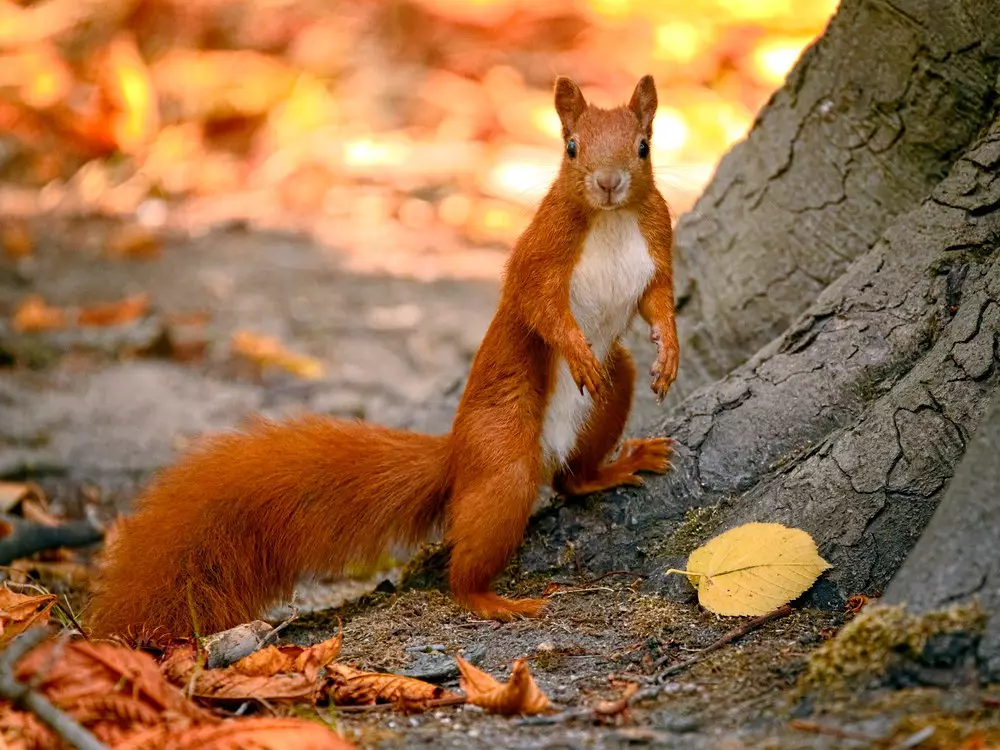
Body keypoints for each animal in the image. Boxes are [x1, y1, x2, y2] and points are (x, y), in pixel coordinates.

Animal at [88, 75, 680, 640]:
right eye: (572, 147)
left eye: (644, 146)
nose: (609, 184)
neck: (610, 221)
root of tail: (455, 455)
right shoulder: (538, 255)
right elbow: (540, 308)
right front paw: (577, 351)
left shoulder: (656, 243)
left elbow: (658, 301)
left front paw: (670, 352)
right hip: (503, 455)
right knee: (473, 552)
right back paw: (487, 598)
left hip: (610, 395)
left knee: (574, 474)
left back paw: (613, 467)